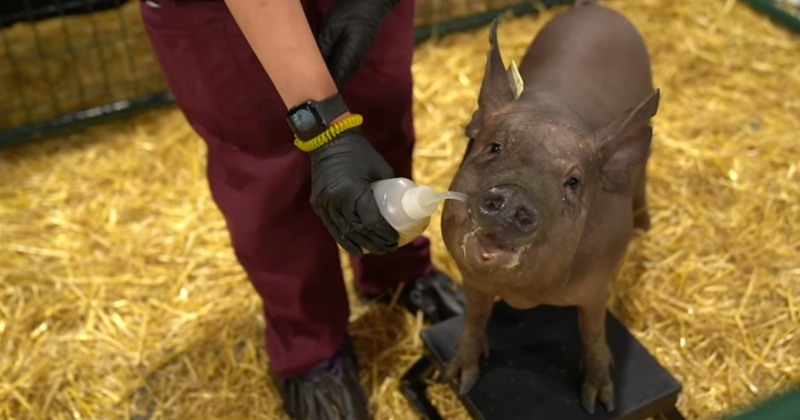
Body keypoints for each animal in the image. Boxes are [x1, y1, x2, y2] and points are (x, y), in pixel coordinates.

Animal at [440, 0, 659, 414]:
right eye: (494, 147)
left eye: (573, 181)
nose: (514, 198)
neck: (527, 295)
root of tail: (596, 9)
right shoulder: (472, 278)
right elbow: (475, 317)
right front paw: (458, 379)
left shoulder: (597, 286)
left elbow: (592, 331)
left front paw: (599, 402)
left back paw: (644, 224)